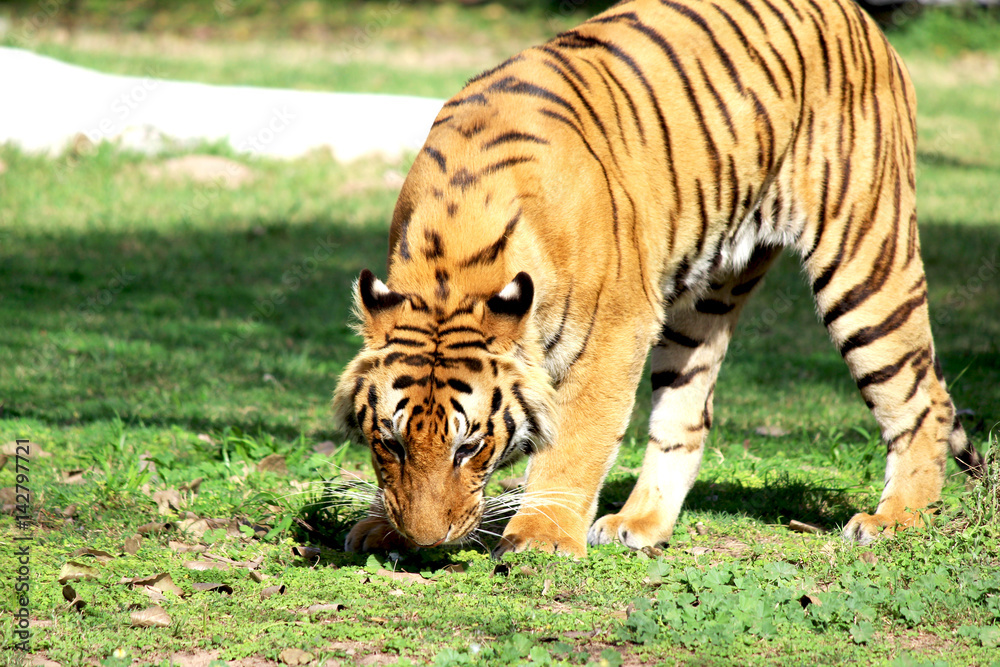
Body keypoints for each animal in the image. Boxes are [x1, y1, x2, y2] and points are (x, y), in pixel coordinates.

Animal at [332, 0, 984, 557]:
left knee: (922, 399)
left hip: (865, 262)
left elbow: (576, 442)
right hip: (705, 304)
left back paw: (893, 520)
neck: (454, 260)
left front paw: (541, 536)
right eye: (390, 442)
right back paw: (640, 523)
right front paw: (378, 527)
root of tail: (859, 17)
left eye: (468, 446)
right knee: (688, 416)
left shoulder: (614, 333)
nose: (422, 542)